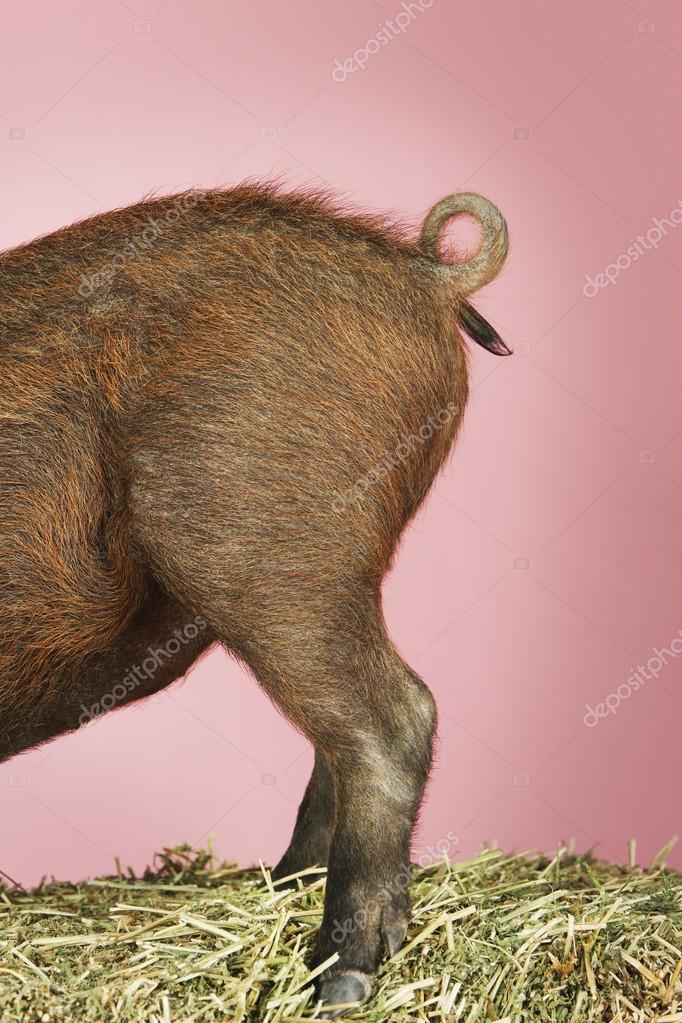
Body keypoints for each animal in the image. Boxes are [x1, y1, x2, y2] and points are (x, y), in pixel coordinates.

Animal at [0, 182, 509, 1015]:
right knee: (342, 737)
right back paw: (282, 885)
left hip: (262, 547)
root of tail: (426, 274)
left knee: (395, 716)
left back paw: (337, 977)